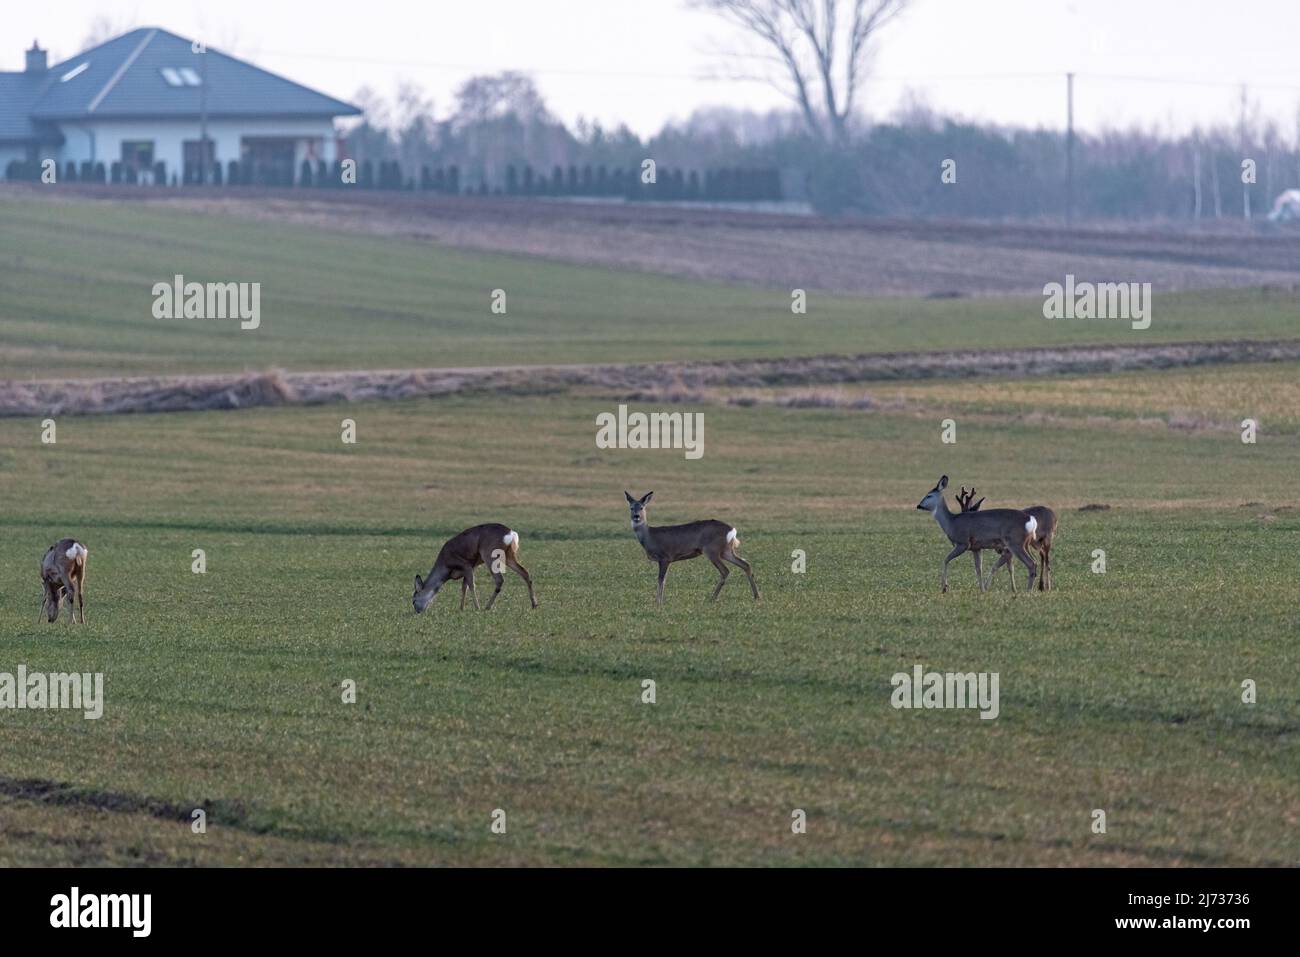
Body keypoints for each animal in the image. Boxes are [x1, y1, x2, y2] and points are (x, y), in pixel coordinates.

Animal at [624, 491, 759, 604]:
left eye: (642, 507)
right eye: (631, 508)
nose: (636, 516)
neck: (650, 536)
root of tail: (732, 530)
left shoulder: (665, 557)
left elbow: (661, 579)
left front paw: (658, 602)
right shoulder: (666, 559)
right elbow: (663, 579)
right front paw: (659, 600)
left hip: (712, 550)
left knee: (725, 570)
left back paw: (712, 598)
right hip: (726, 551)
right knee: (745, 564)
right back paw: (757, 596)